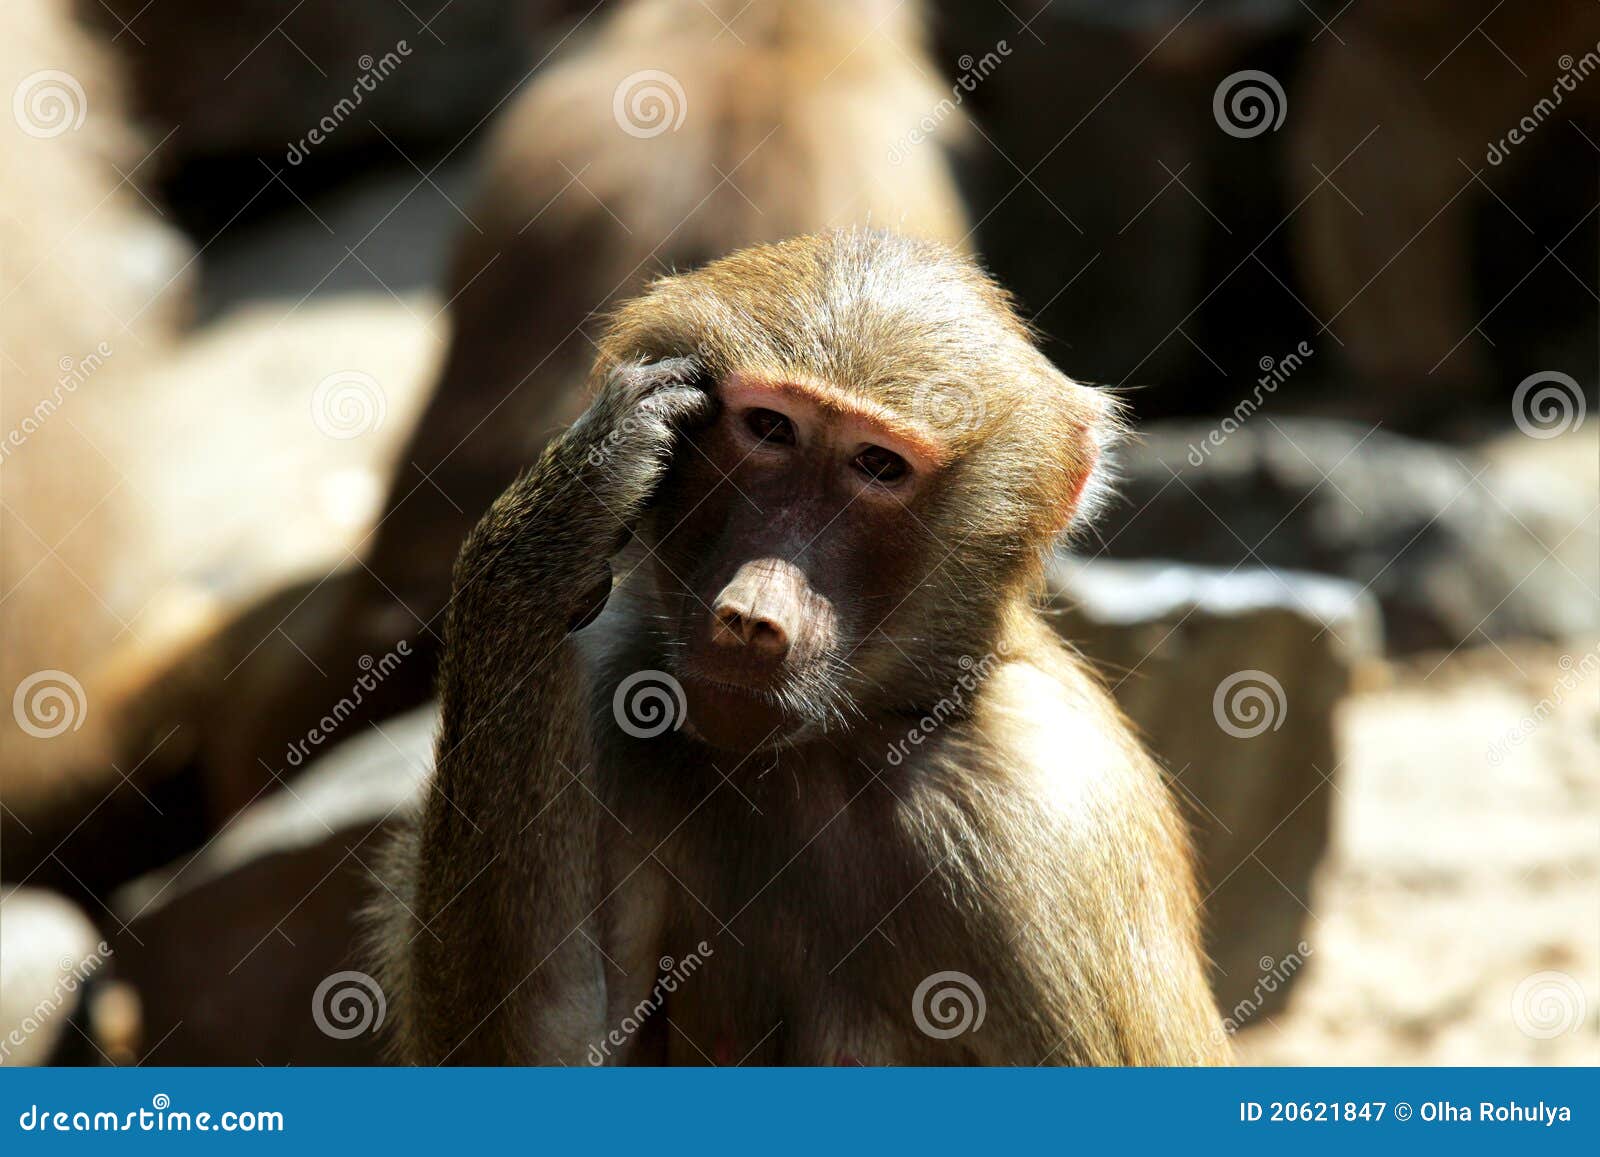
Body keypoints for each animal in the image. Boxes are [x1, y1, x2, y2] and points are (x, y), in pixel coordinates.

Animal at [370, 229, 1228, 1066]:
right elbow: (550, 1041)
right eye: (771, 428)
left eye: (877, 464)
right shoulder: (613, 687)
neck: (833, 742)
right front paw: (560, 517)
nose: (752, 617)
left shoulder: (1043, 813)